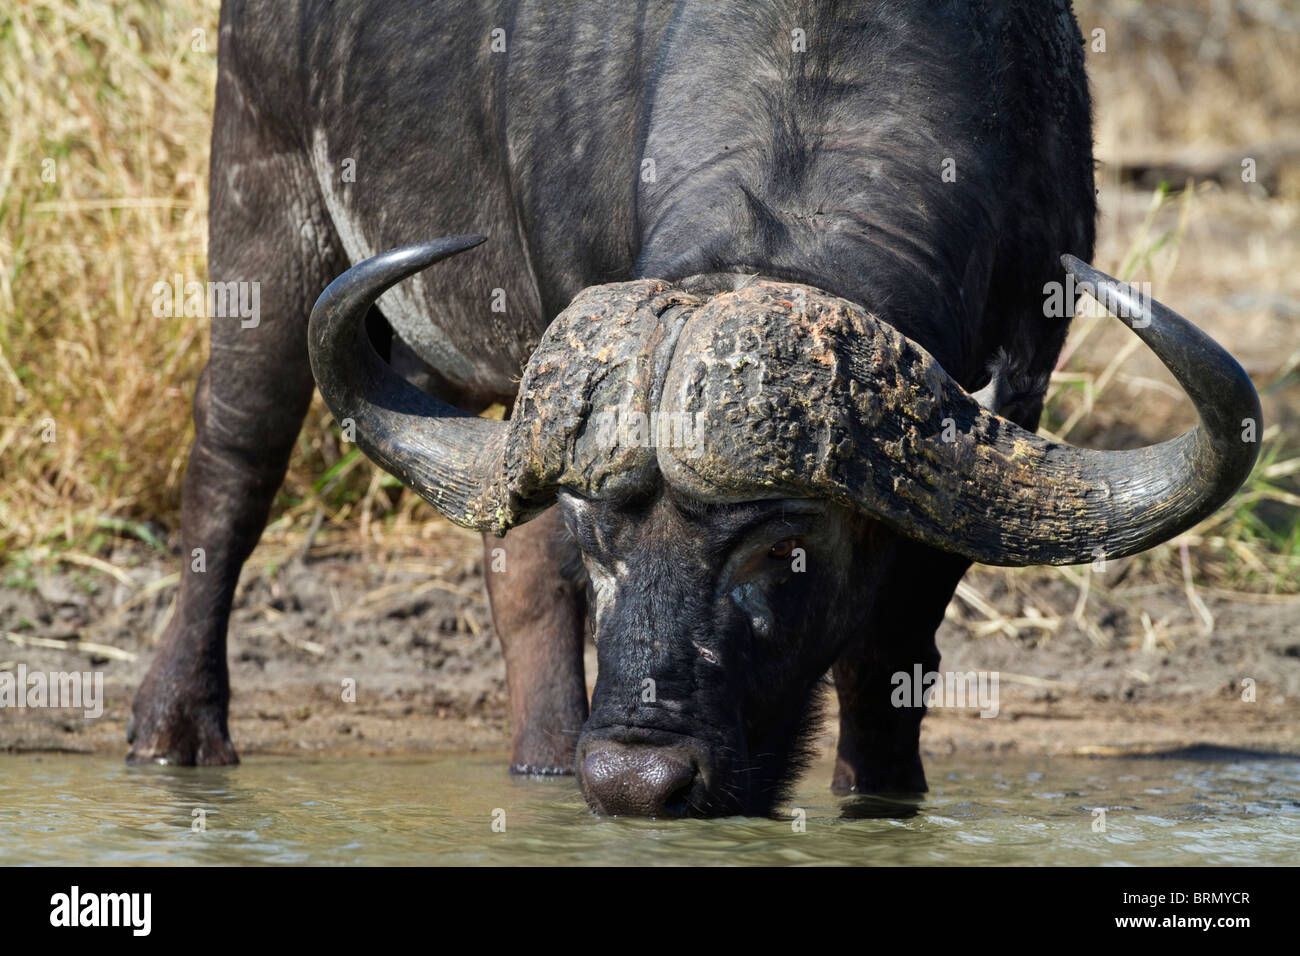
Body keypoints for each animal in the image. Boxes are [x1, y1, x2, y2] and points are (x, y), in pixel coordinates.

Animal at [128, 0, 1260, 817]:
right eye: (605, 542)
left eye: (785, 549)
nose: (635, 781)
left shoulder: (1004, 407)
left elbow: (892, 648)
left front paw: (883, 799)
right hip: (263, 207)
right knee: (233, 468)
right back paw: (174, 728)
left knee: (509, 562)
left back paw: (544, 765)